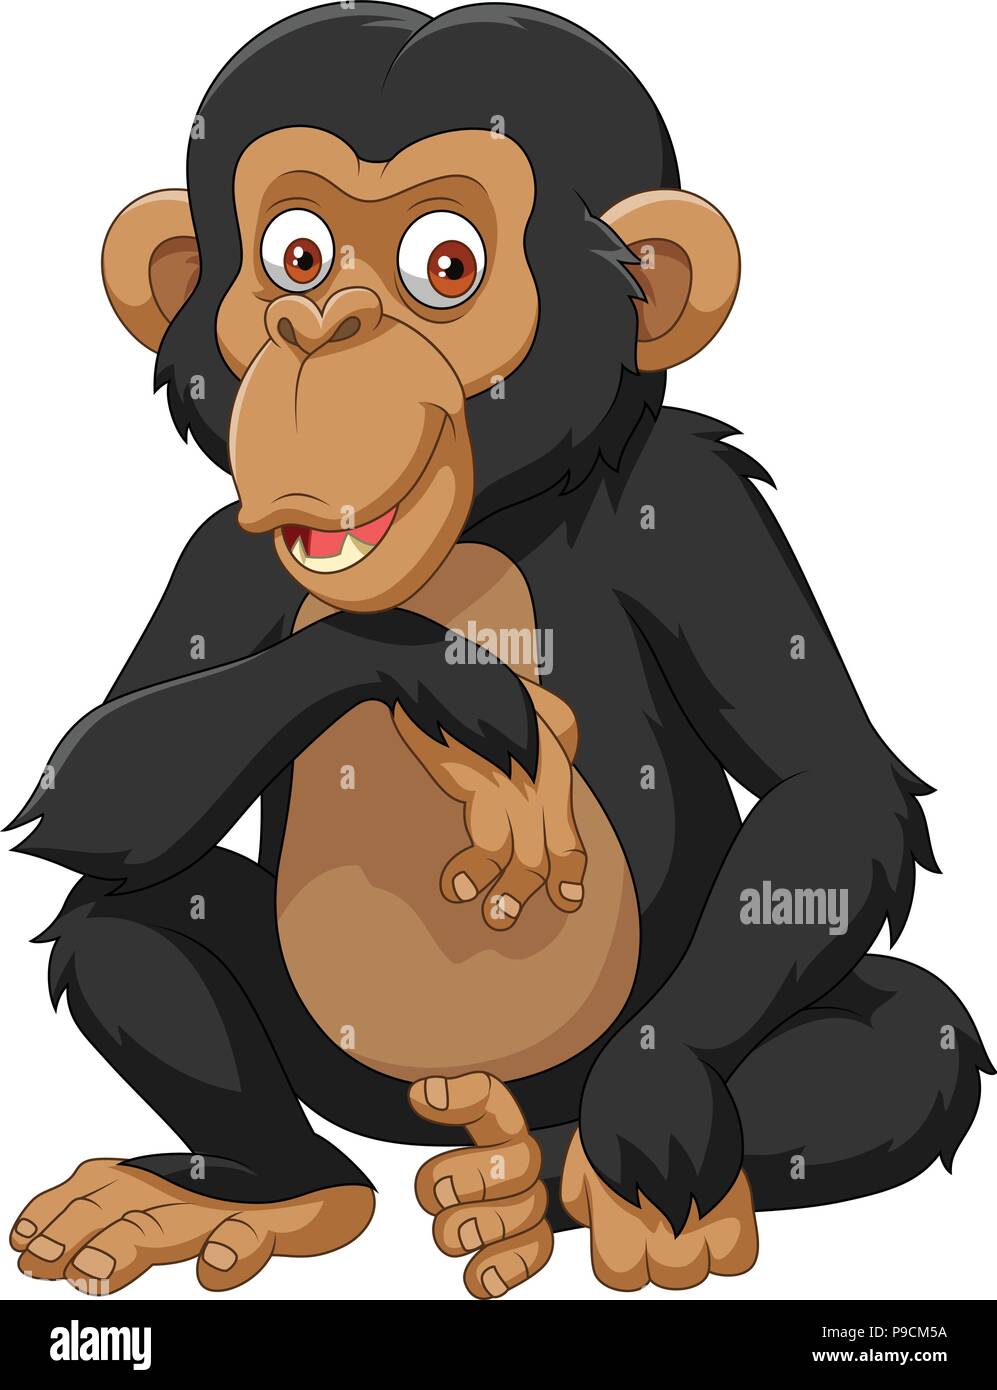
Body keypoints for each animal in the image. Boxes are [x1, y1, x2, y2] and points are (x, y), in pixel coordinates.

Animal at [8, 3, 990, 1299]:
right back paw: (270, 1191)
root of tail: (456, 1106)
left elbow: (823, 787)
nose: (319, 326)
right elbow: (99, 766)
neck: (489, 523)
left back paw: (555, 1186)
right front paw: (457, 689)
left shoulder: (703, 514)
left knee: (907, 1035)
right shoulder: (220, 553)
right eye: (298, 254)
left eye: (446, 266)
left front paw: (651, 1099)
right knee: (124, 920)